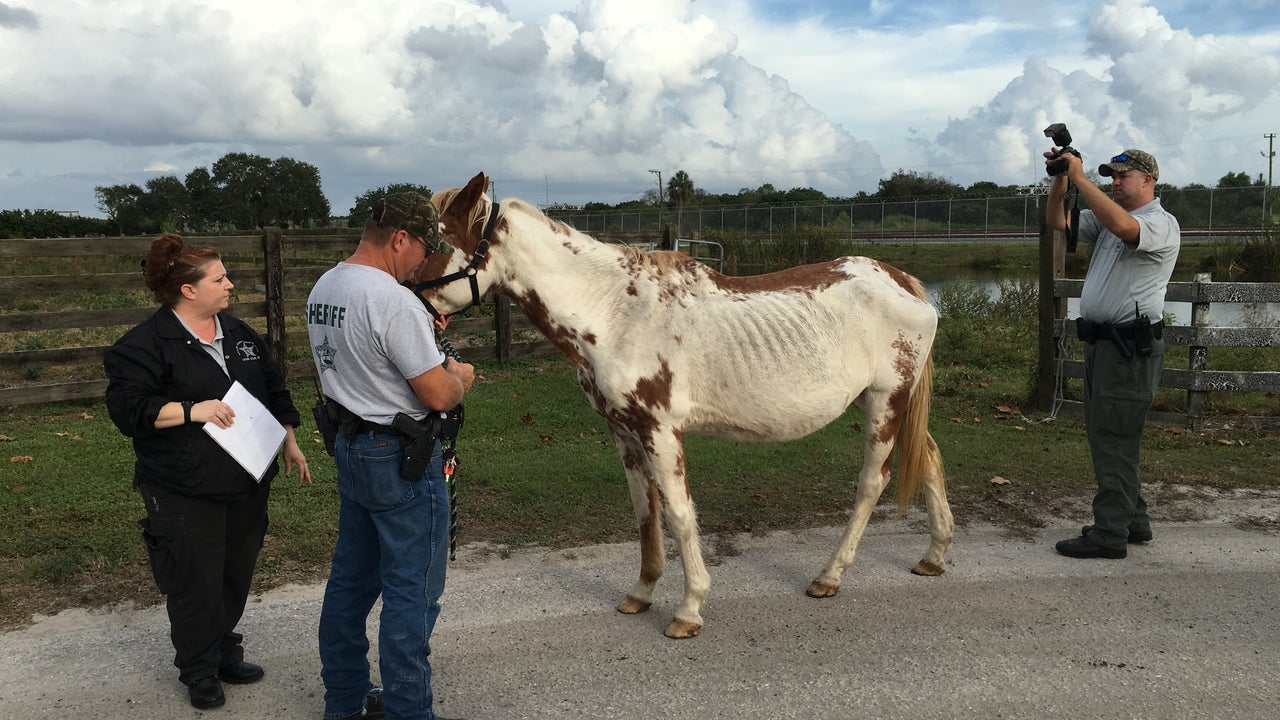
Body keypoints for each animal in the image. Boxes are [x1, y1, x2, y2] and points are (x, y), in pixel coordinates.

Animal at [415, 172, 953, 639]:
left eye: (440, 242)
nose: (414, 302)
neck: (615, 313)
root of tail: (899, 279)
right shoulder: (623, 430)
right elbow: (644, 510)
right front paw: (641, 592)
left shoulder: (660, 430)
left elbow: (678, 513)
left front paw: (689, 608)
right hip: (887, 402)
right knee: (928, 456)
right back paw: (934, 556)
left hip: (886, 402)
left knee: (872, 482)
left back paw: (830, 576)